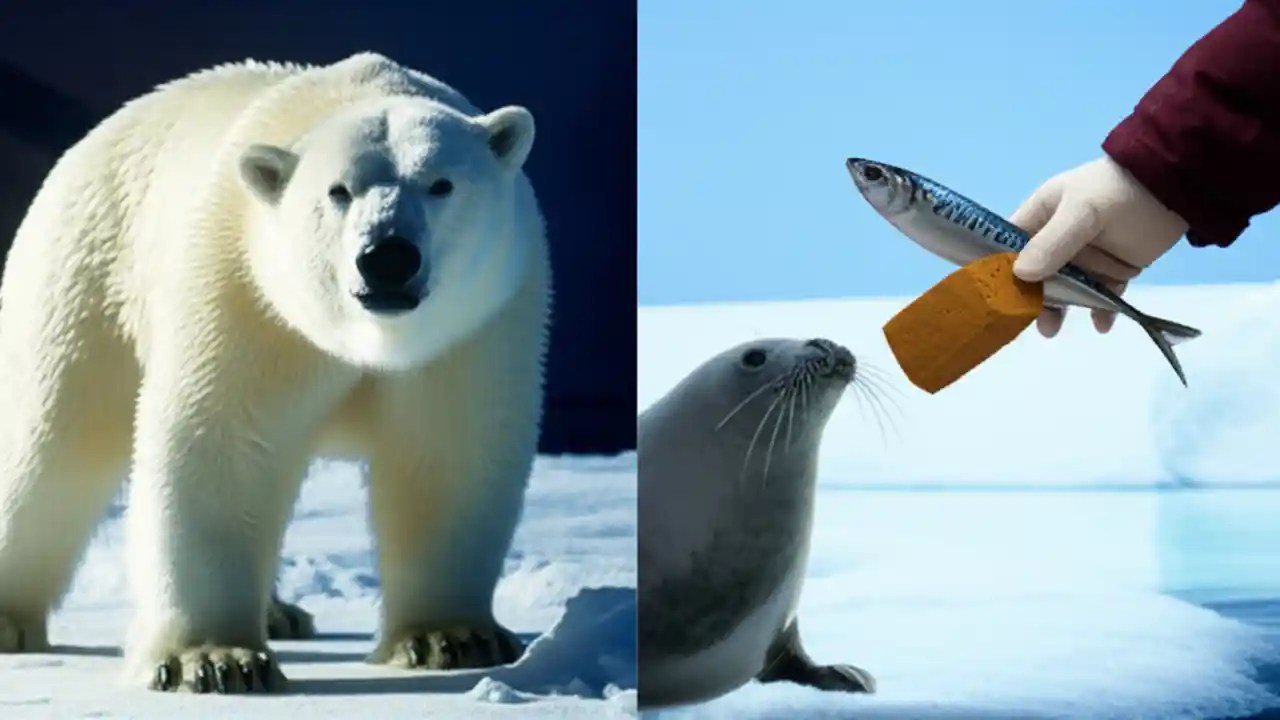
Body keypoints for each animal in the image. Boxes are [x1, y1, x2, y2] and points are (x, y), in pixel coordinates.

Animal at [0, 51, 551, 694]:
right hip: (86, 278)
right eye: (338, 191)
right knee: (51, 444)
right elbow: (225, 449)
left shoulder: (475, 327)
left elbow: (446, 453)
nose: (387, 256)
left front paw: (453, 638)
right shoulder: (247, 297)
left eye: (441, 184)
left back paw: (282, 612)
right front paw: (216, 660)